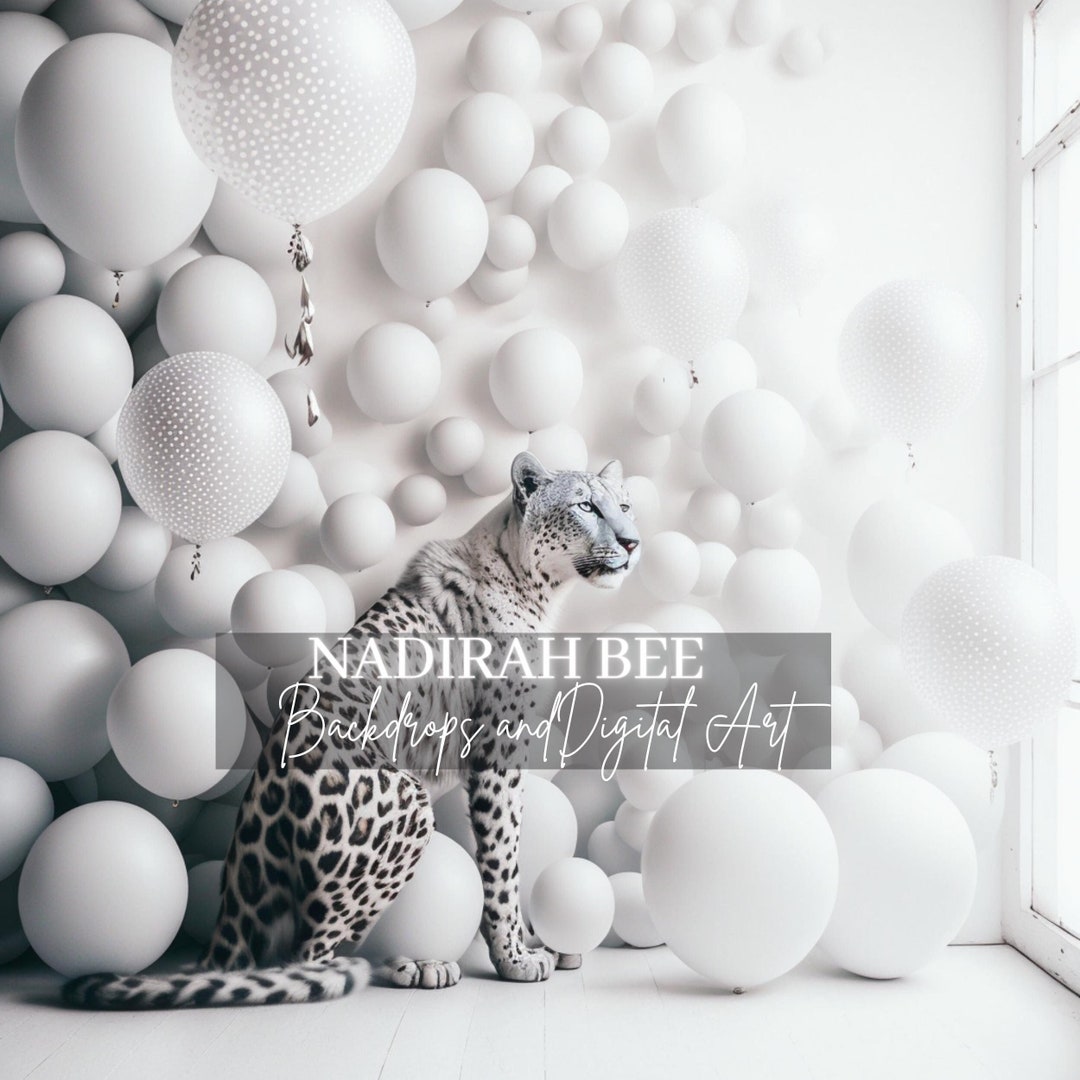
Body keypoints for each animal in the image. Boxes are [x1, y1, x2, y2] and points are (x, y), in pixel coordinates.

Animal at [63, 452, 640, 1008]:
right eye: (585, 506)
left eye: (625, 506)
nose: (632, 543)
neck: (532, 581)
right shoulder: (495, 756)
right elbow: (503, 858)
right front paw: (515, 958)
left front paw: (535, 943)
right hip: (406, 804)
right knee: (308, 955)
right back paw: (409, 967)